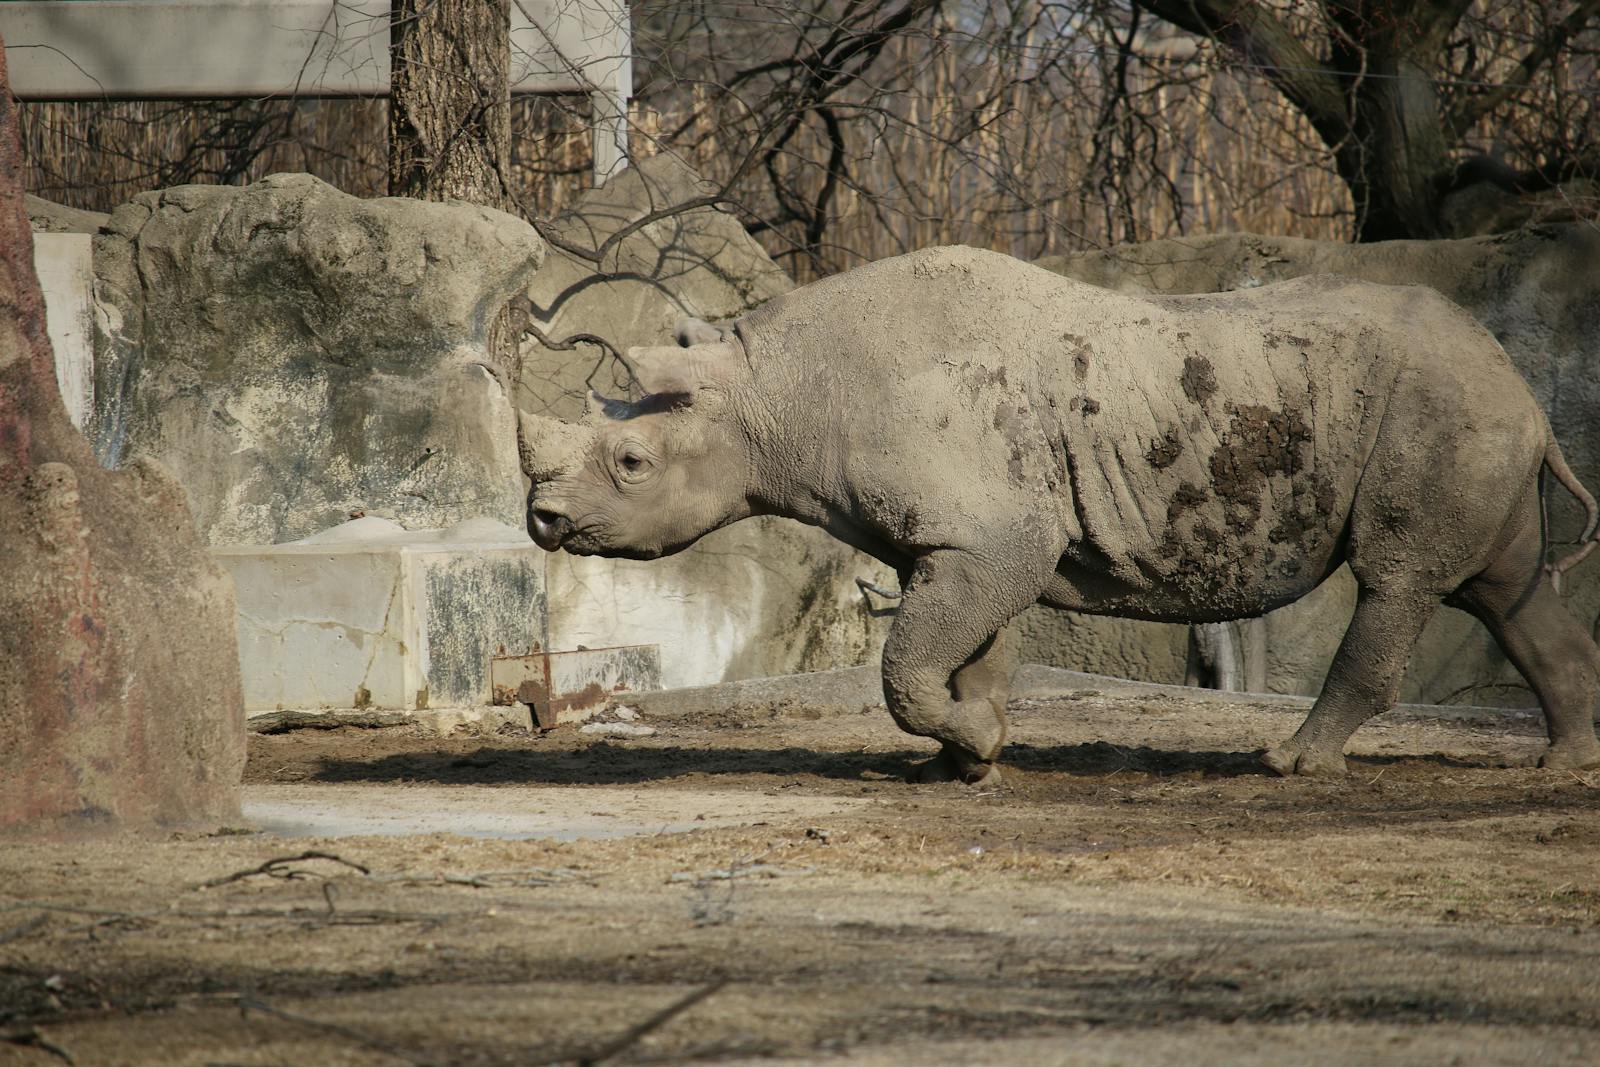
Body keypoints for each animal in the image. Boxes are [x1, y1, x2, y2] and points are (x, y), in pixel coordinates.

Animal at [518, 245, 1600, 784]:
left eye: (630, 462)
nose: (542, 523)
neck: (771, 392)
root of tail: (1521, 383)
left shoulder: (993, 536)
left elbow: (906, 667)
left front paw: (976, 746)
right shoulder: (964, 537)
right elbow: (962, 653)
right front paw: (970, 756)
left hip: (1437, 406)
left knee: (1401, 580)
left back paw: (1289, 764)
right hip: (1472, 414)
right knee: (1501, 587)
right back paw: (1560, 765)